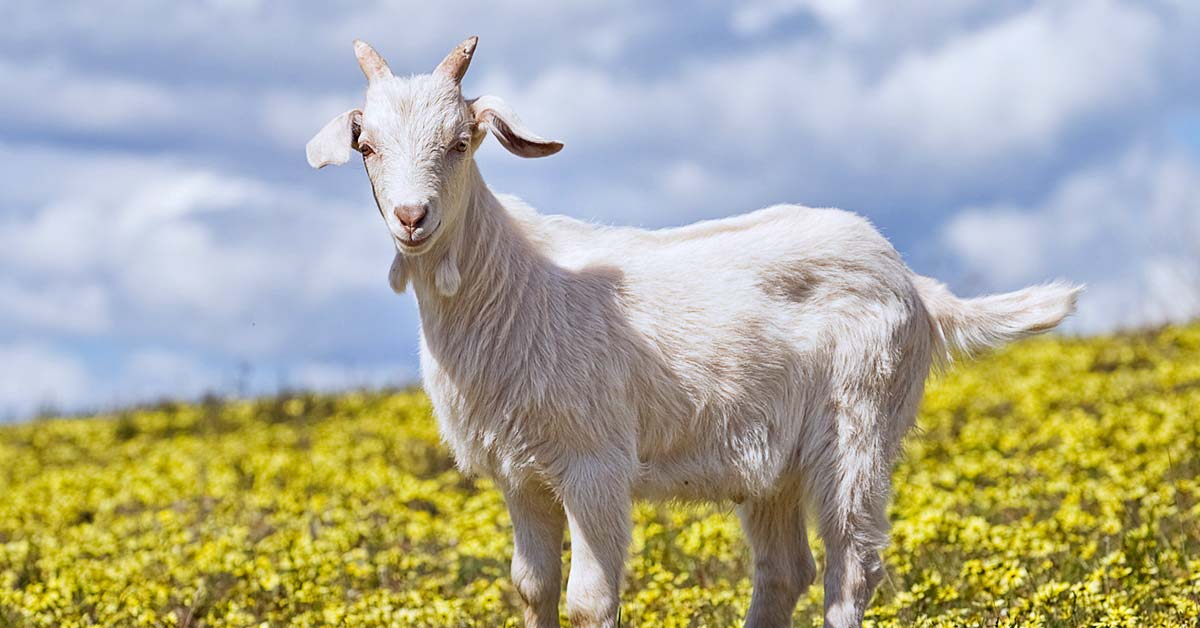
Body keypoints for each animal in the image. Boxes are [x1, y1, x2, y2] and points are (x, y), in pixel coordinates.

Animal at [307, 37, 1081, 628]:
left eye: (462, 141)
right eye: (367, 146)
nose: (412, 218)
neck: (515, 284)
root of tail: (915, 285)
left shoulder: (595, 463)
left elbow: (590, 601)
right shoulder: (520, 475)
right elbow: (531, 590)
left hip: (861, 421)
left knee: (853, 561)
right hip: (774, 460)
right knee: (785, 569)